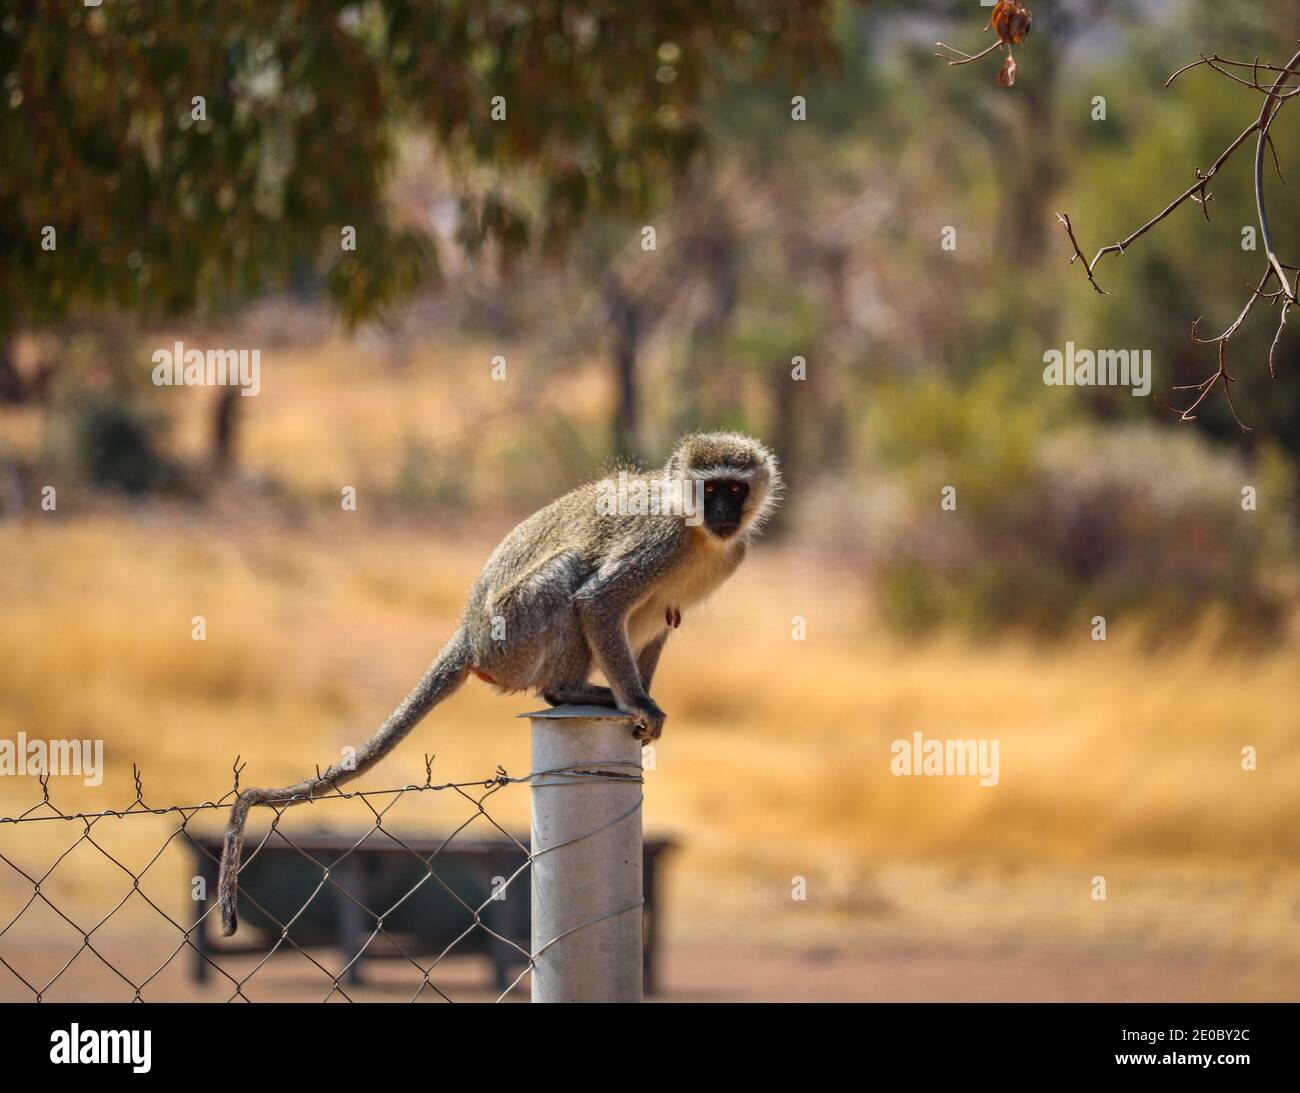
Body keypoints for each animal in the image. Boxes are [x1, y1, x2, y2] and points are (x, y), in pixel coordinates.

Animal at [217, 431, 781, 935]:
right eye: (710, 489)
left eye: (735, 489)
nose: (723, 514)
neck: (699, 534)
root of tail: (470, 636)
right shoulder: (660, 541)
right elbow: (598, 600)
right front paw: (638, 704)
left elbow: (663, 617)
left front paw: (642, 699)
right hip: (512, 634)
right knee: (570, 573)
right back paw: (570, 691)